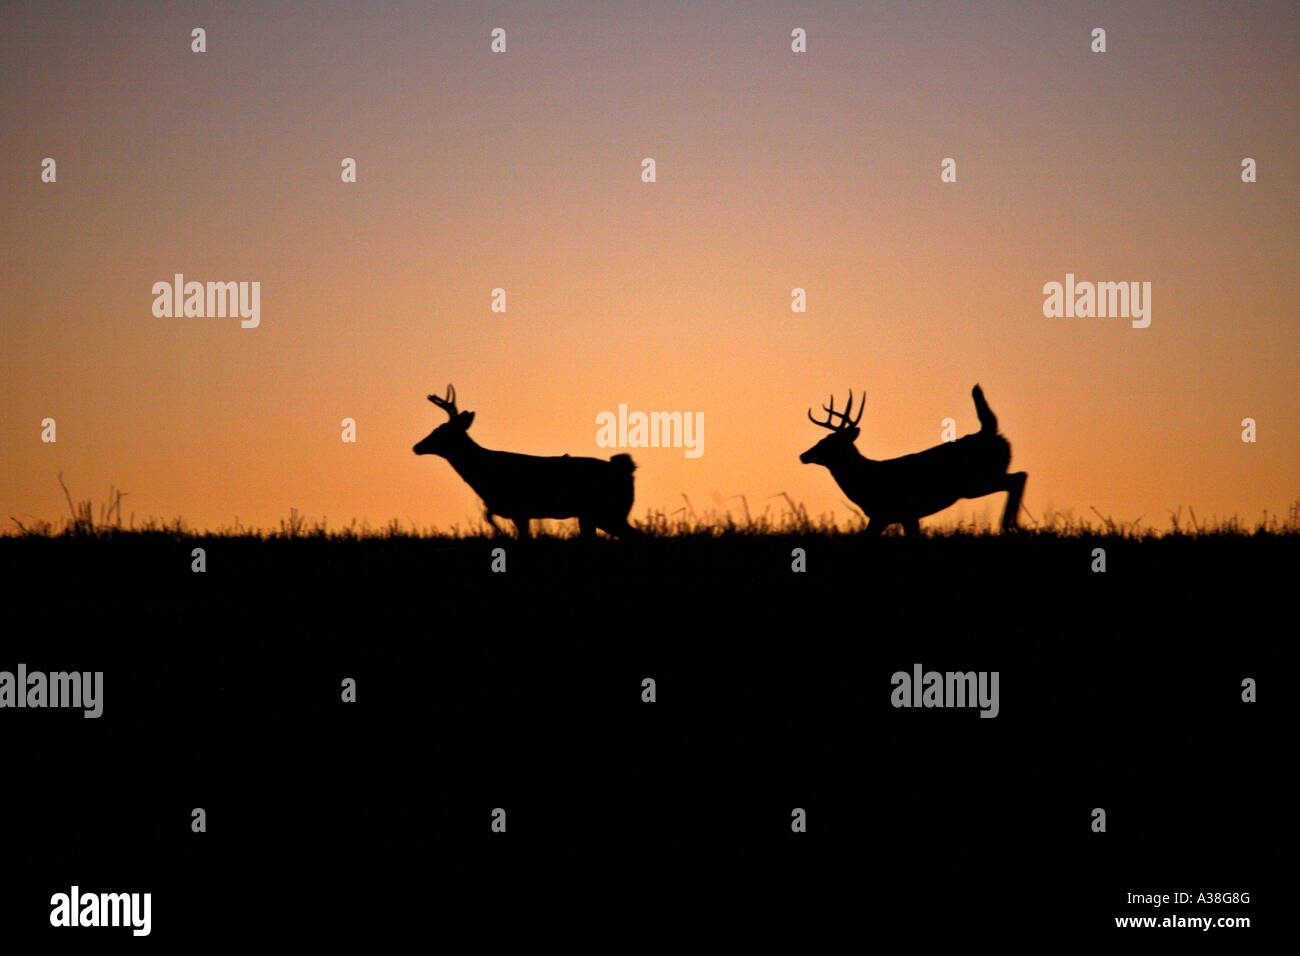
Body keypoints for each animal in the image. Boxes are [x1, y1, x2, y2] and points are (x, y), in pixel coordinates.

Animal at [413, 384, 640, 539]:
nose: (417, 447)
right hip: (594, 514)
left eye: (441, 431)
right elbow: (489, 516)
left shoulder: (519, 509)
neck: (484, 472)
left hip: (605, 511)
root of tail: (626, 471)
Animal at [799, 384, 1027, 536]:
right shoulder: (902, 515)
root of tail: (990, 432)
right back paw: (1012, 525)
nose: (803, 455)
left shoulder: (891, 511)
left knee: (1018, 477)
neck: (867, 480)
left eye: (827, 442)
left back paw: (1009, 525)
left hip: (977, 481)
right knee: (1019, 476)